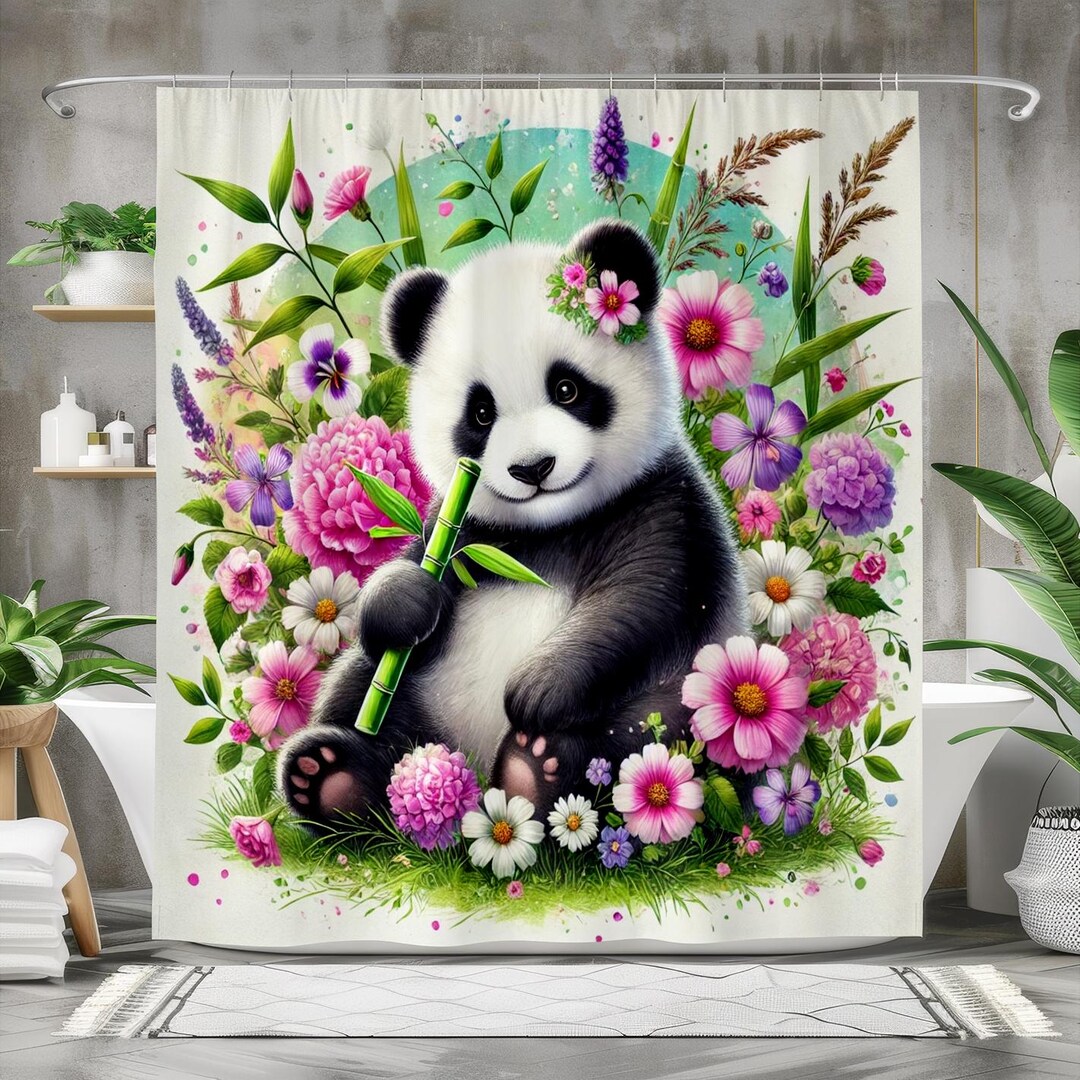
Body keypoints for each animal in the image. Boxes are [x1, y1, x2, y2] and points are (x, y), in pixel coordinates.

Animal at [278, 219, 749, 827]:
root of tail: (480, 784)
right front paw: (407, 603)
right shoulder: (457, 531)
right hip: (410, 700)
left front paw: (536, 689)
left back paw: (540, 768)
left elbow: (643, 599)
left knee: (657, 732)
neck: (546, 530)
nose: (533, 467)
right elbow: (397, 597)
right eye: (481, 414)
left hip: (697, 695)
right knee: (360, 688)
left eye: (568, 389)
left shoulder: (663, 501)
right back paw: (331, 777)